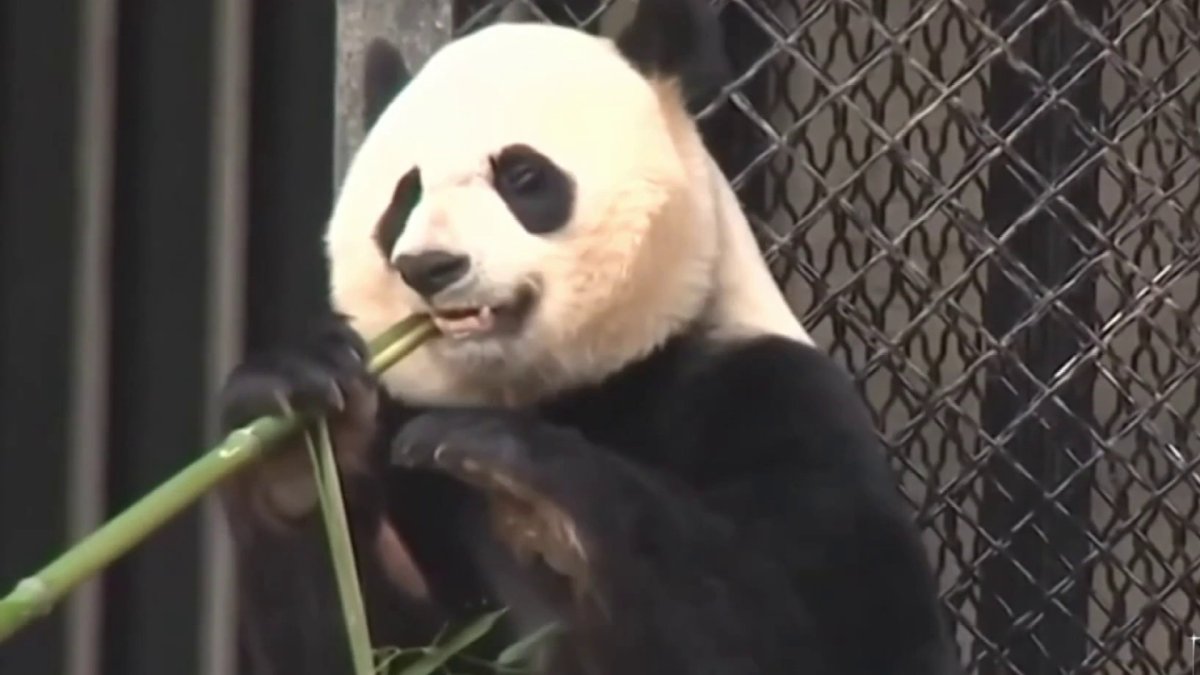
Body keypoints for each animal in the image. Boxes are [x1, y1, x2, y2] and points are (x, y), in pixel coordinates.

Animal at [217, 2, 960, 675]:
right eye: (404, 198)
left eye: (522, 176)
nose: (429, 266)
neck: (565, 389)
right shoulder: (405, 448)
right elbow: (386, 645)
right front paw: (289, 441)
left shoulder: (770, 386)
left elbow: (845, 625)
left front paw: (524, 480)